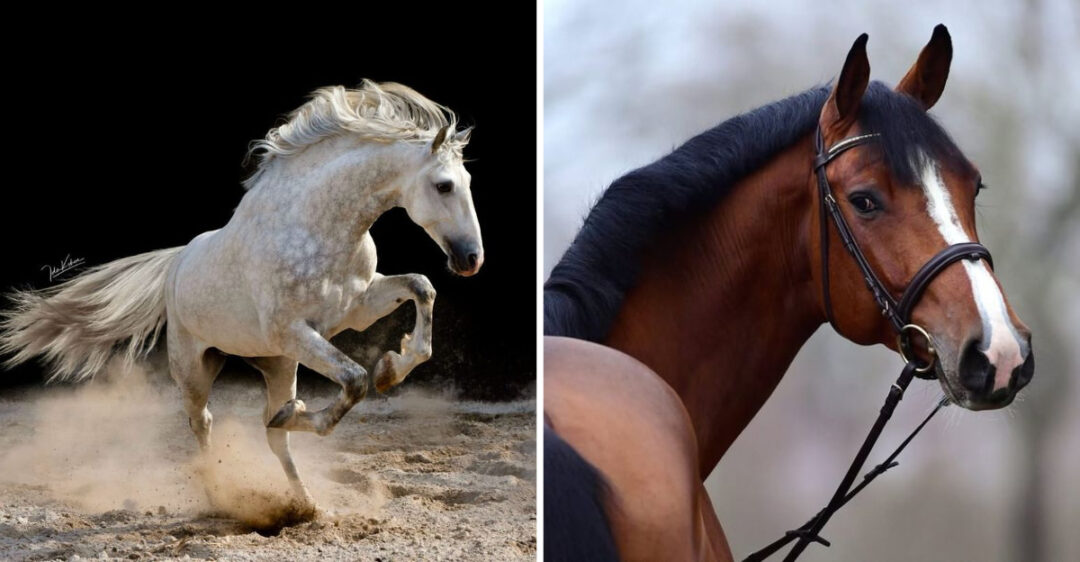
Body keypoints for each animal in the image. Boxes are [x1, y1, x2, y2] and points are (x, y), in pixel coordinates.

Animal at [0, 79, 483, 514]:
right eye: (444, 185)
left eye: (467, 180)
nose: (471, 258)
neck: (317, 226)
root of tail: (178, 262)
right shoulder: (294, 332)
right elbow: (354, 379)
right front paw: (357, 385)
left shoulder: (357, 309)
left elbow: (421, 287)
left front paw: (392, 367)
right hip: (196, 369)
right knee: (204, 423)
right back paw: (222, 495)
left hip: (278, 364)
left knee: (273, 436)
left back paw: (305, 503)